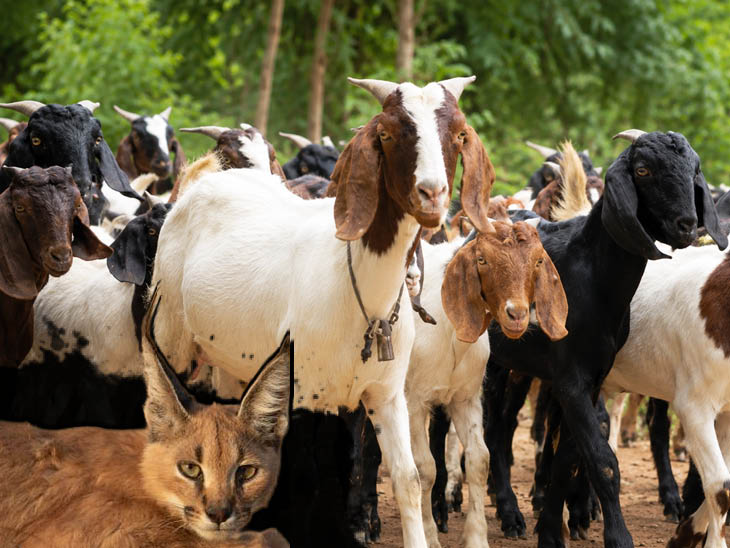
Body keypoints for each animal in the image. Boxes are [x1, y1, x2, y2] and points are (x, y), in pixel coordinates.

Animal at [148, 76, 494, 548]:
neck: (356, 289)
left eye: (458, 134)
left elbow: (407, 478)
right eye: (387, 133)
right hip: (173, 338)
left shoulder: (387, 394)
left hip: (236, 363)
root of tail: (201, 184)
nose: (433, 194)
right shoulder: (300, 396)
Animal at [481, 129, 726, 546]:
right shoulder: (571, 378)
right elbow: (603, 461)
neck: (590, 274)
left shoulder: (591, 378)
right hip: (494, 362)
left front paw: (552, 531)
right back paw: (505, 510)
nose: (687, 225)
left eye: (694, 168)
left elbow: (569, 457)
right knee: (492, 429)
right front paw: (616, 535)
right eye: (642, 170)